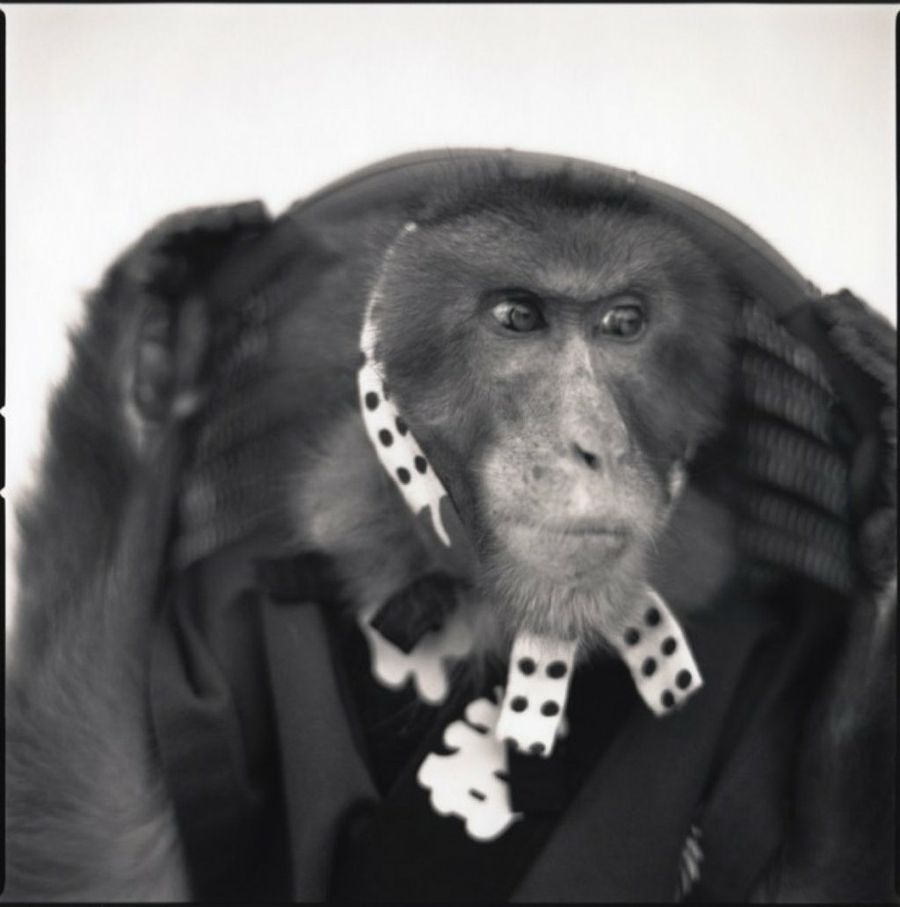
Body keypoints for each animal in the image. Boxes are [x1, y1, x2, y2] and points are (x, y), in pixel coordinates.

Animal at [4, 162, 895, 902]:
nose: (595, 445)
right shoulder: (222, 607)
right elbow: (112, 868)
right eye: (518, 316)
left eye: (624, 322)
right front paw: (142, 378)